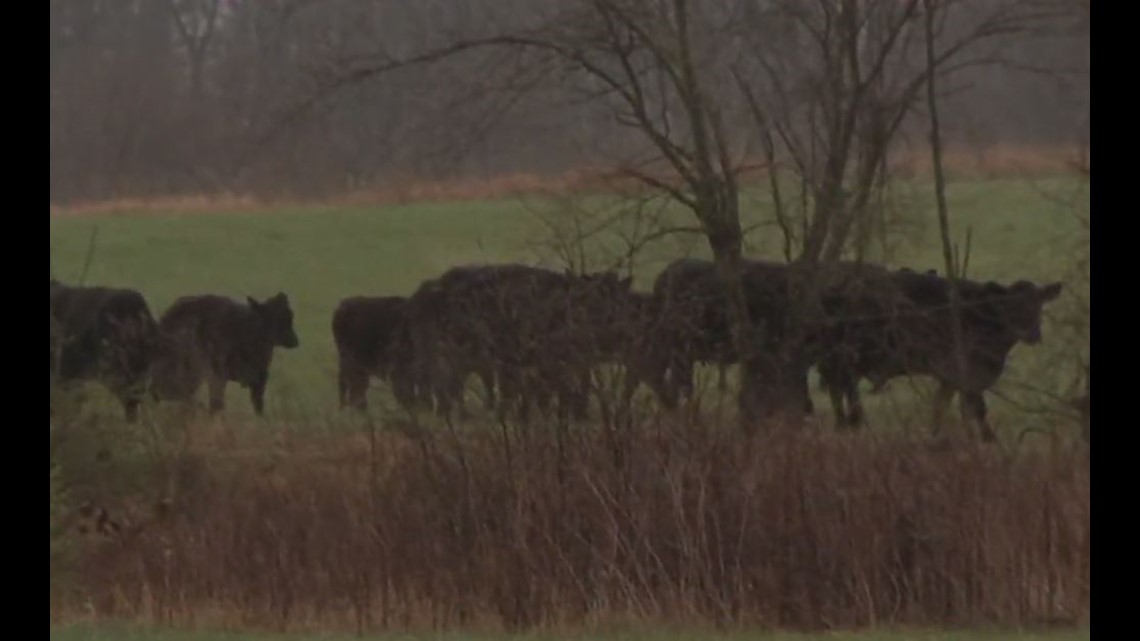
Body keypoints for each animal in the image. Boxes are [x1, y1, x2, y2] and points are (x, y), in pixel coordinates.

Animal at [151, 292, 299, 416]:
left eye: (290, 316)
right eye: (280, 318)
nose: (294, 340)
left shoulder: (258, 379)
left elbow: (258, 406)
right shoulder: (219, 377)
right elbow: (218, 404)